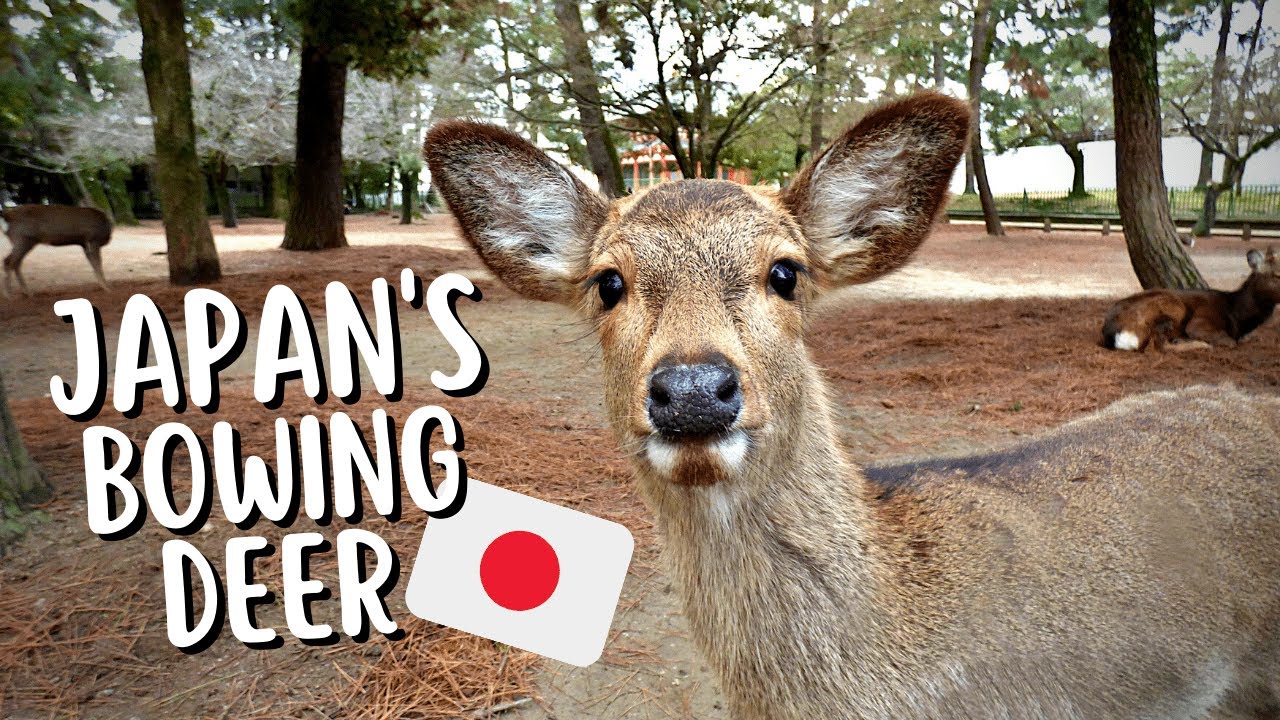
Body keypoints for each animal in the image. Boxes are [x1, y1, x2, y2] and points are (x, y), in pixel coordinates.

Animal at [1102, 246, 1280, 352]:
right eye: (1277, 274)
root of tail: (1116, 332)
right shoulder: (1200, 323)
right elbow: (1230, 341)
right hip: (1175, 307)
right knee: (1160, 344)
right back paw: (1191, 343)